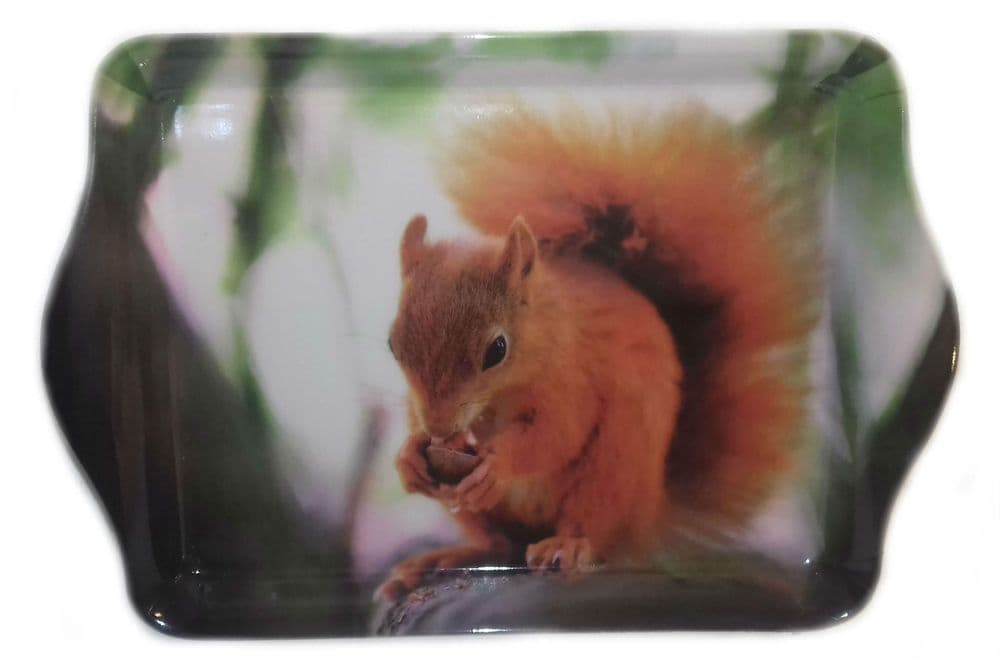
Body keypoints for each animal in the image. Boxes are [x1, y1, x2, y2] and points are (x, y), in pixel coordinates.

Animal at [377, 104, 819, 599]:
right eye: (392, 344)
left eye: (497, 350)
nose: (439, 429)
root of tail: (650, 518)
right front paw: (409, 456)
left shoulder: (571, 377)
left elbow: (558, 433)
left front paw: (498, 464)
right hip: (490, 514)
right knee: (499, 546)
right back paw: (439, 561)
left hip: (613, 468)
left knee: (592, 530)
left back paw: (567, 546)